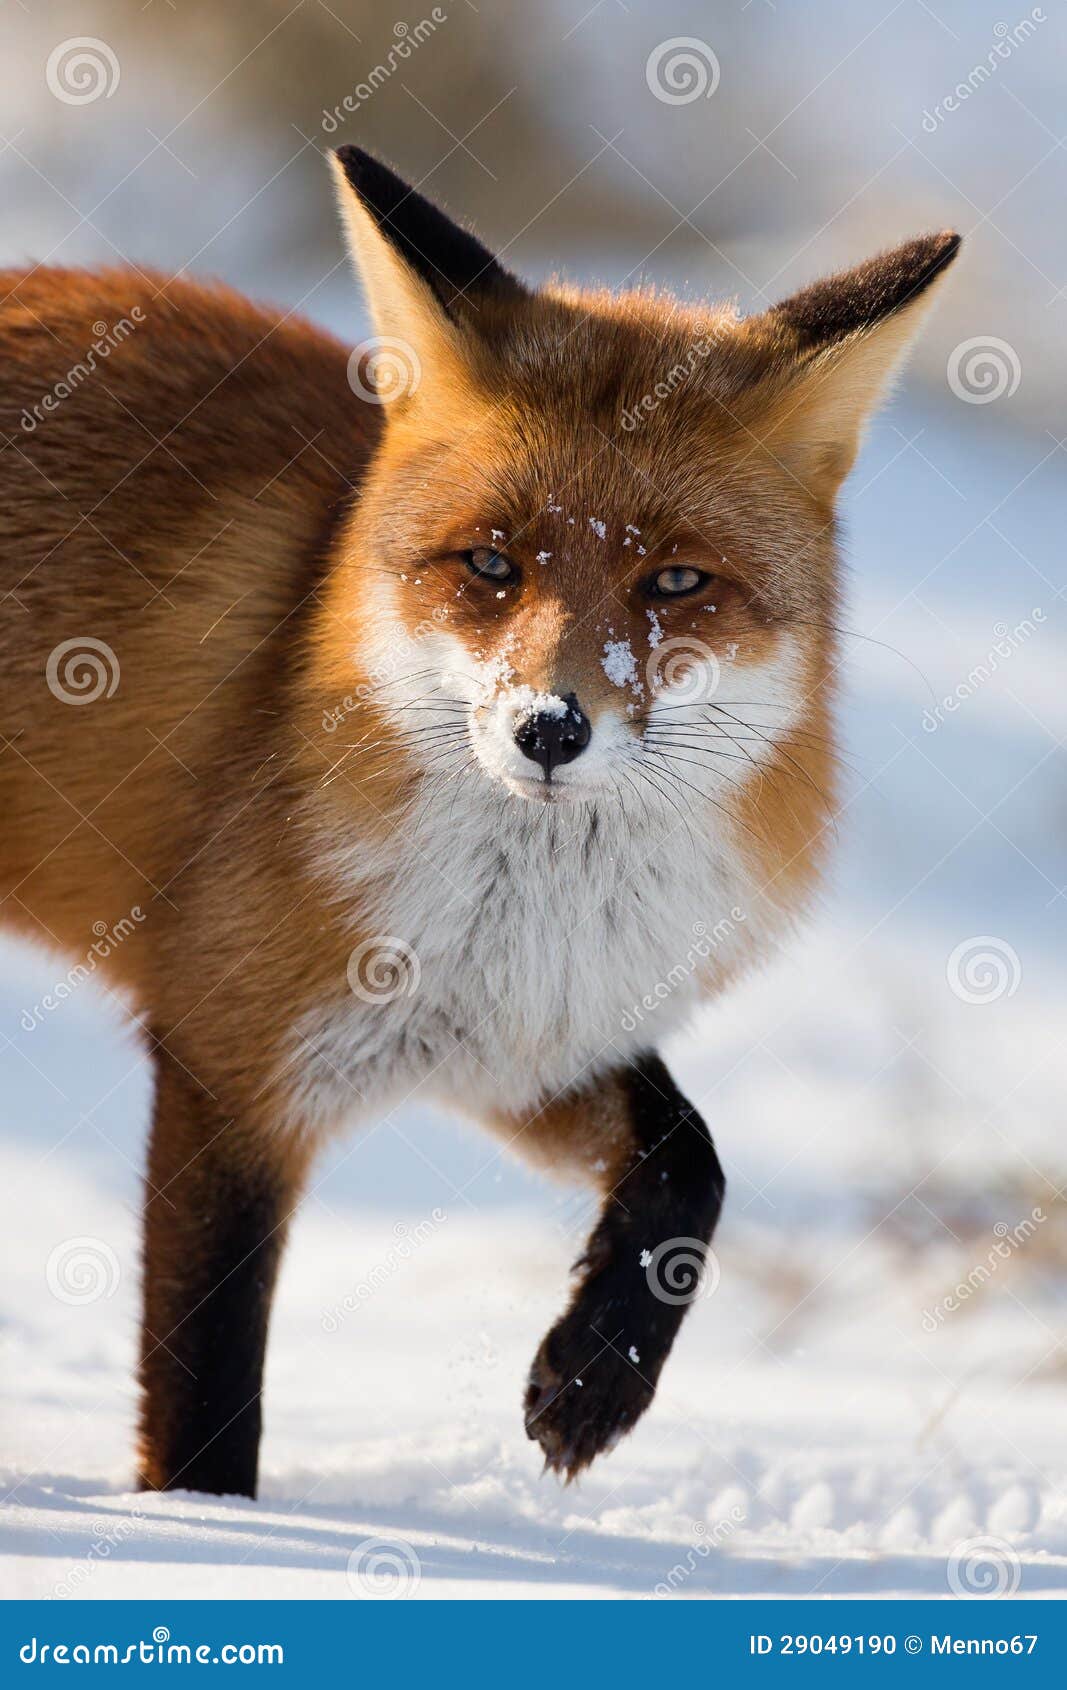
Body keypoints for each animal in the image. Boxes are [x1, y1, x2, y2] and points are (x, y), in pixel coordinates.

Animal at [0, 146, 959, 1497]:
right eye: (491, 564)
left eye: (676, 581)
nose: (549, 729)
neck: (523, 910)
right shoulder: (229, 1057)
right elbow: (207, 1401)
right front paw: (203, 1535)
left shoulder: (510, 1041)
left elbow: (691, 1157)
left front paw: (597, 1372)